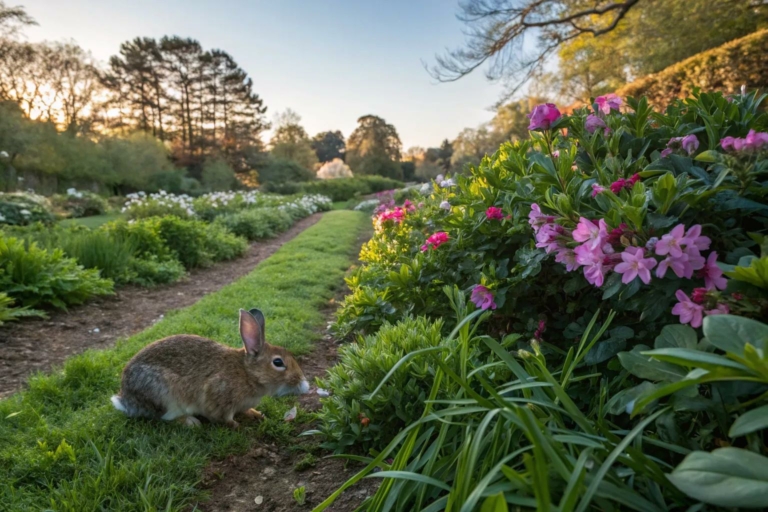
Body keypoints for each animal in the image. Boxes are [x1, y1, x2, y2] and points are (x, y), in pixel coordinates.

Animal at [110, 308, 309, 429]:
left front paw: (255, 414)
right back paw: (191, 422)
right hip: (164, 395)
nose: (303, 382)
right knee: (163, 417)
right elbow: (223, 418)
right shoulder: (218, 396)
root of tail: (126, 399)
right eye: (278, 363)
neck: (248, 373)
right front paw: (236, 426)